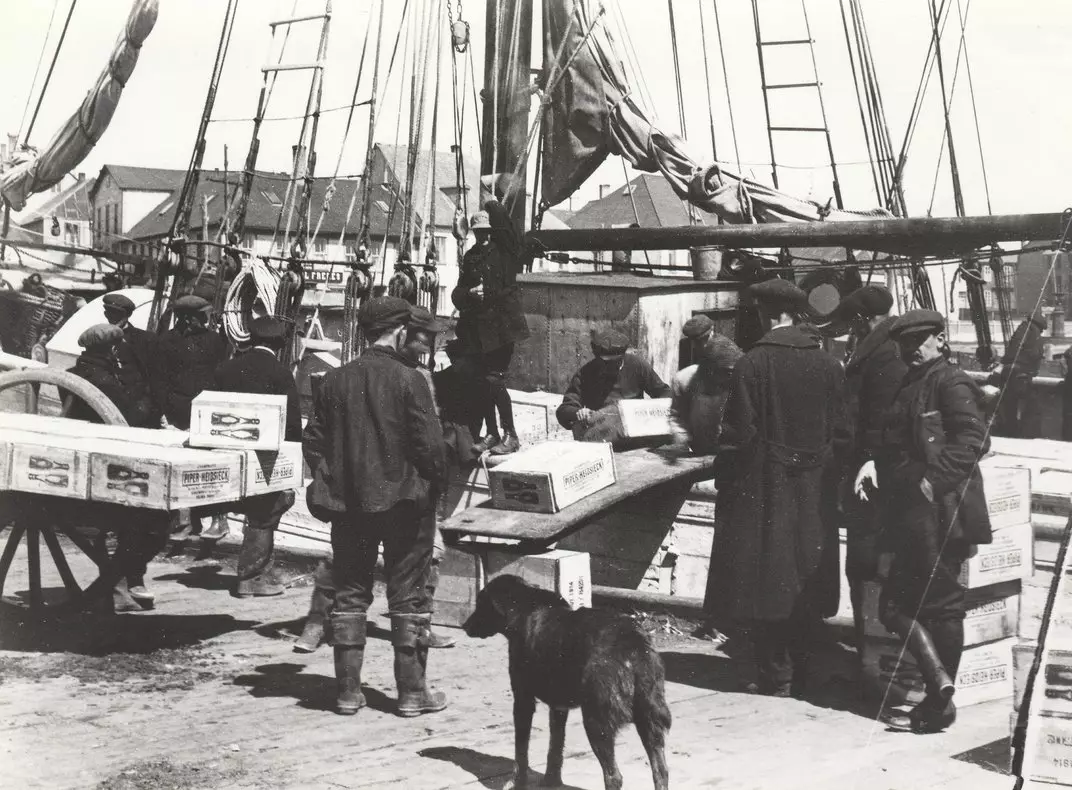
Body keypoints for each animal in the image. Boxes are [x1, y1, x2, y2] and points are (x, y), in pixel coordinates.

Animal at [463, 574, 668, 788]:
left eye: (480, 603)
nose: (464, 626)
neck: (525, 606)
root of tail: (634, 644)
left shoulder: (523, 699)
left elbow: (521, 750)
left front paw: (517, 782)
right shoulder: (558, 707)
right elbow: (555, 746)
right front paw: (551, 780)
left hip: (597, 722)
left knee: (614, 777)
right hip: (649, 722)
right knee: (660, 772)